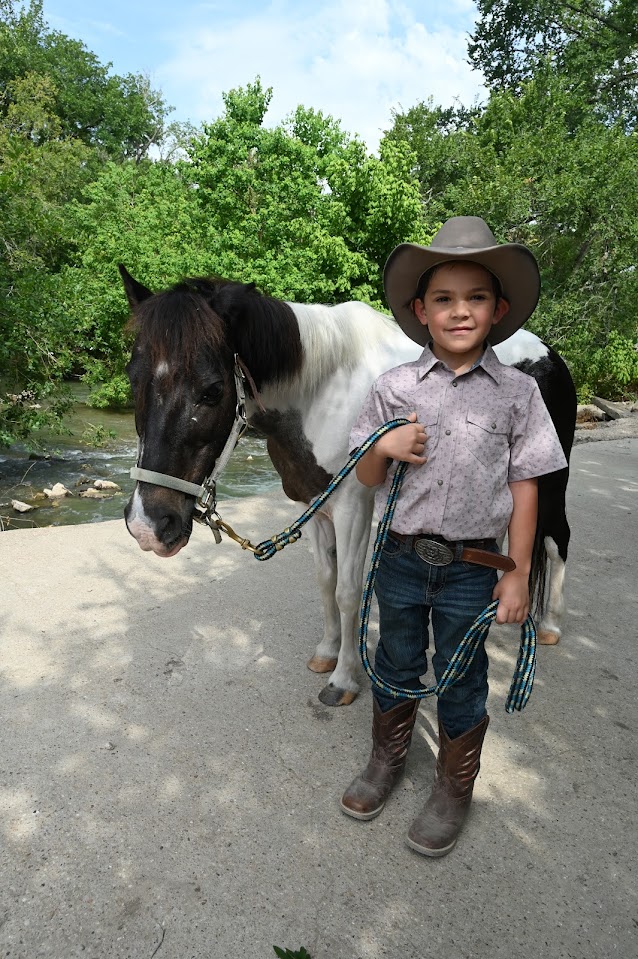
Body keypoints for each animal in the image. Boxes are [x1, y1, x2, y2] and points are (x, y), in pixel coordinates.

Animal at [119, 267, 577, 706]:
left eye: (213, 390)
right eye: (132, 378)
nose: (148, 525)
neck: (320, 392)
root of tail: (549, 353)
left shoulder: (352, 507)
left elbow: (347, 591)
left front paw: (344, 677)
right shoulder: (313, 505)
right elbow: (325, 581)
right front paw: (326, 652)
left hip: (549, 484)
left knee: (557, 539)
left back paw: (550, 625)